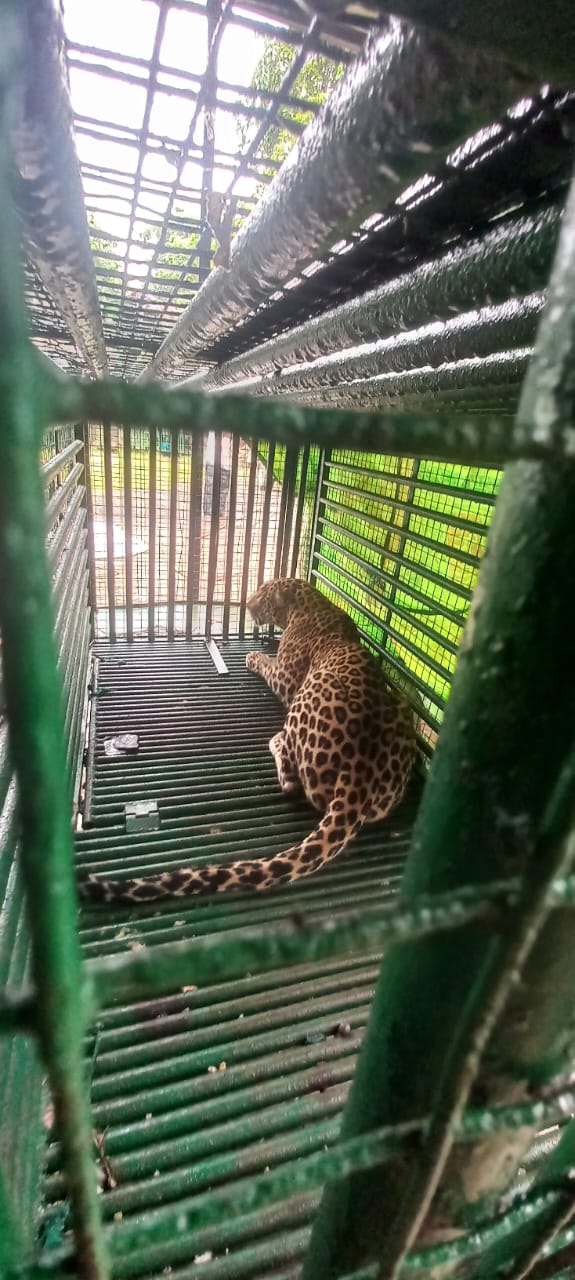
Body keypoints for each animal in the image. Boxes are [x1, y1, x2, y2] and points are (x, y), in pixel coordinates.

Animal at [79, 578, 416, 904]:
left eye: (264, 594)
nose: (248, 603)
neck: (310, 601)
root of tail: (360, 778)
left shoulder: (287, 679)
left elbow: (267, 663)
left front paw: (253, 655)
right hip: (402, 711)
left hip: (311, 691)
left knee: (292, 779)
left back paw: (277, 740)